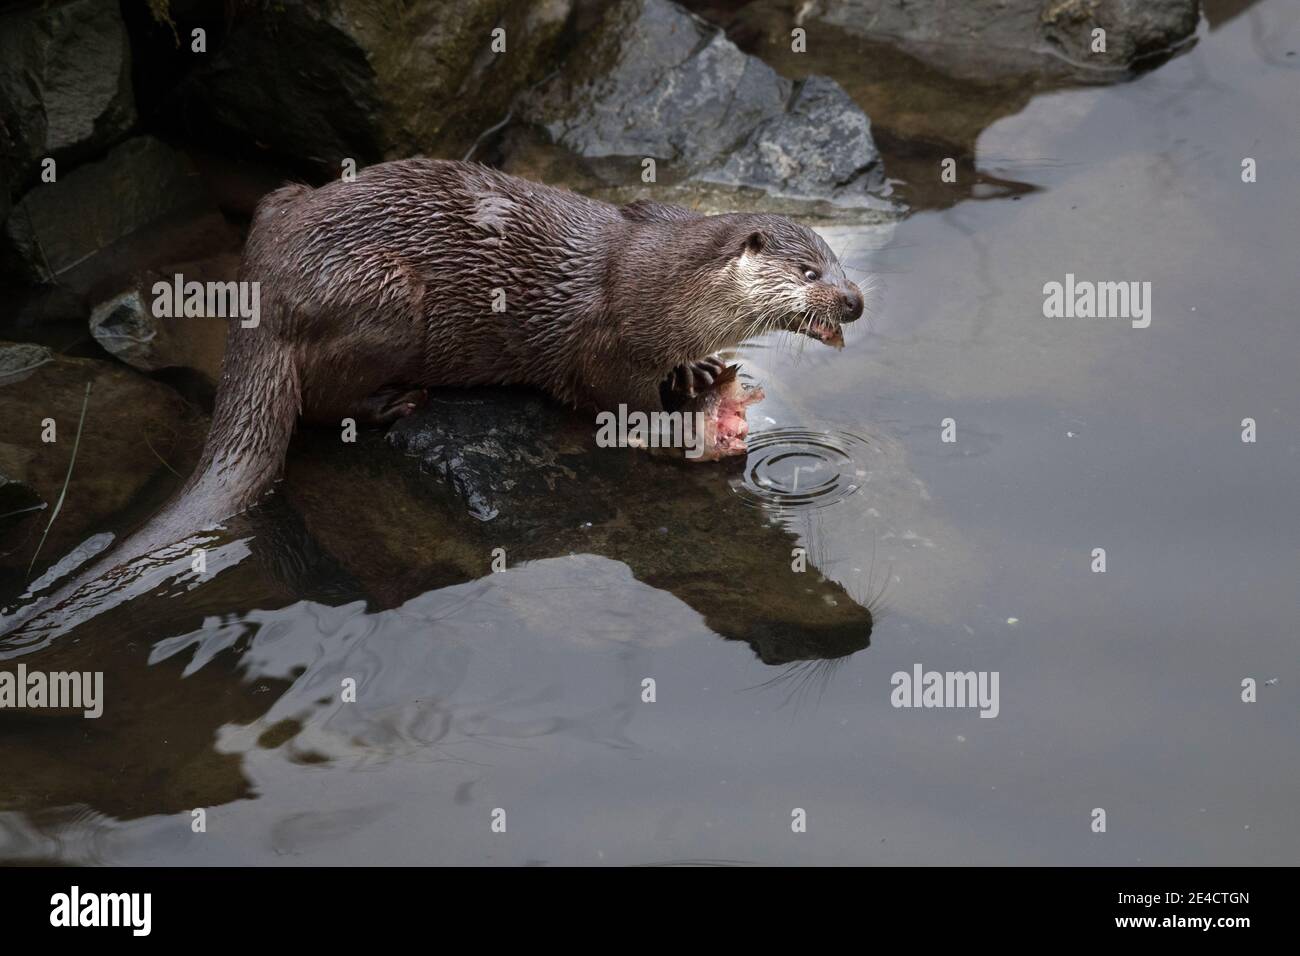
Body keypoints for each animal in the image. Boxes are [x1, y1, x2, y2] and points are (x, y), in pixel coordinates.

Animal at [3, 159, 863, 637]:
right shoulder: (602, 341)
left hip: (286, 201)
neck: (659, 283)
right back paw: (391, 405)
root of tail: (263, 281)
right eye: (809, 273)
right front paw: (686, 425)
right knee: (319, 404)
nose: (855, 302)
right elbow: (608, 406)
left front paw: (697, 374)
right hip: (386, 292)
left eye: (840, 262)